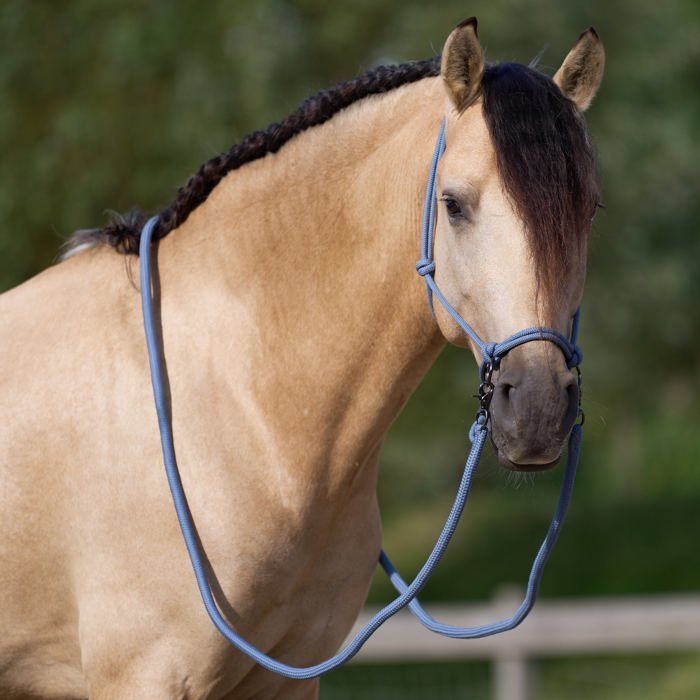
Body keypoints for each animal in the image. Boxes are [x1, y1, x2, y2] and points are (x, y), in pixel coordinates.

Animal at [0, 18, 604, 700]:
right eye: (452, 204)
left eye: (588, 208)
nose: (538, 410)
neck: (237, 398)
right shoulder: (143, 678)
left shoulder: (287, 678)